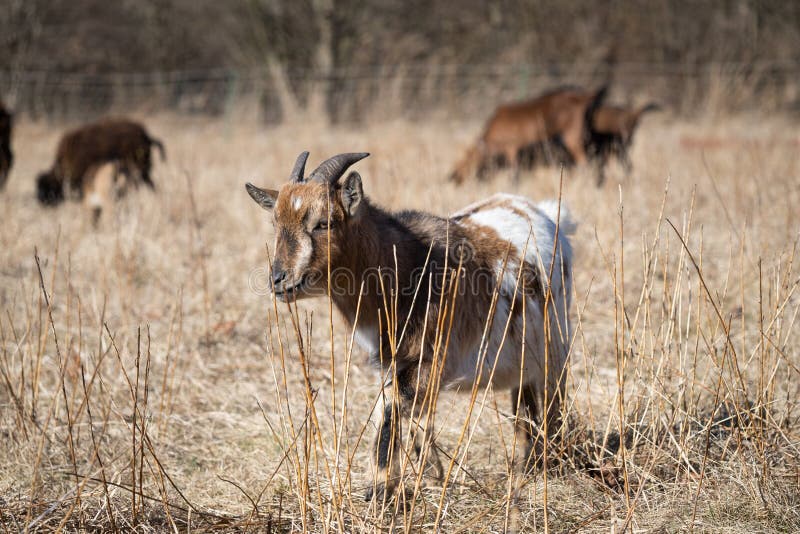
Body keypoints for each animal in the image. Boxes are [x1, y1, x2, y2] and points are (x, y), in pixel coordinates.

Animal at [246, 152, 575, 501]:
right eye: (276, 224)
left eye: (324, 223)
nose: (279, 280)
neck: (408, 268)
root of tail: (544, 212)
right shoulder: (397, 361)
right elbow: (411, 414)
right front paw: (429, 475)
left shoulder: (431, 360)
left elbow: (389, 404)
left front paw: (379, 489)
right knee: (523, 400)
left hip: (556, 341)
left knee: (553, 395)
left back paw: (550, 463)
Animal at [448, 86, 607, 184]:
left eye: (464, 164)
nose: (453, 178)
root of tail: (582, 97)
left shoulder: (511, 149)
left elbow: (514, 177)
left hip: (572, 139)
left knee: (585, 165)